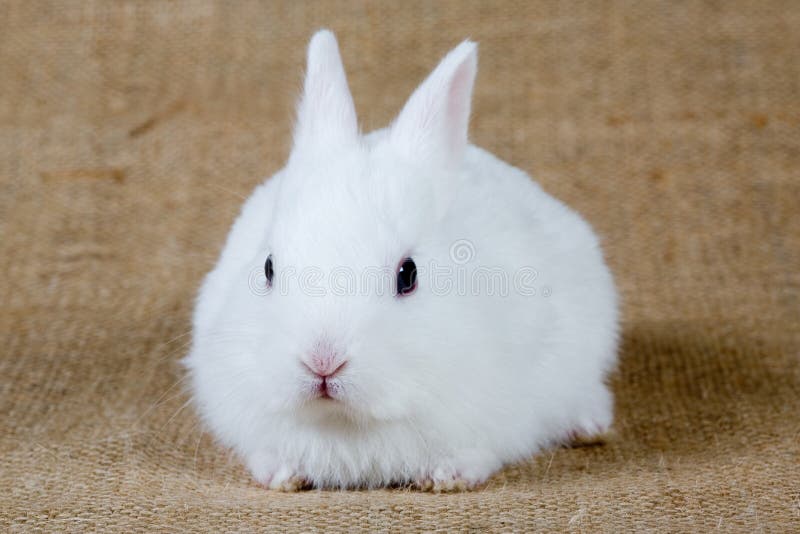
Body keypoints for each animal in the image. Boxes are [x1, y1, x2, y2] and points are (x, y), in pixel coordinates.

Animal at [184, 29, 619, 491]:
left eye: (408, 275)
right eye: (268, 268)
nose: (323, 361)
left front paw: (449, 476)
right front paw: (281, 474)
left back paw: (588, 426)